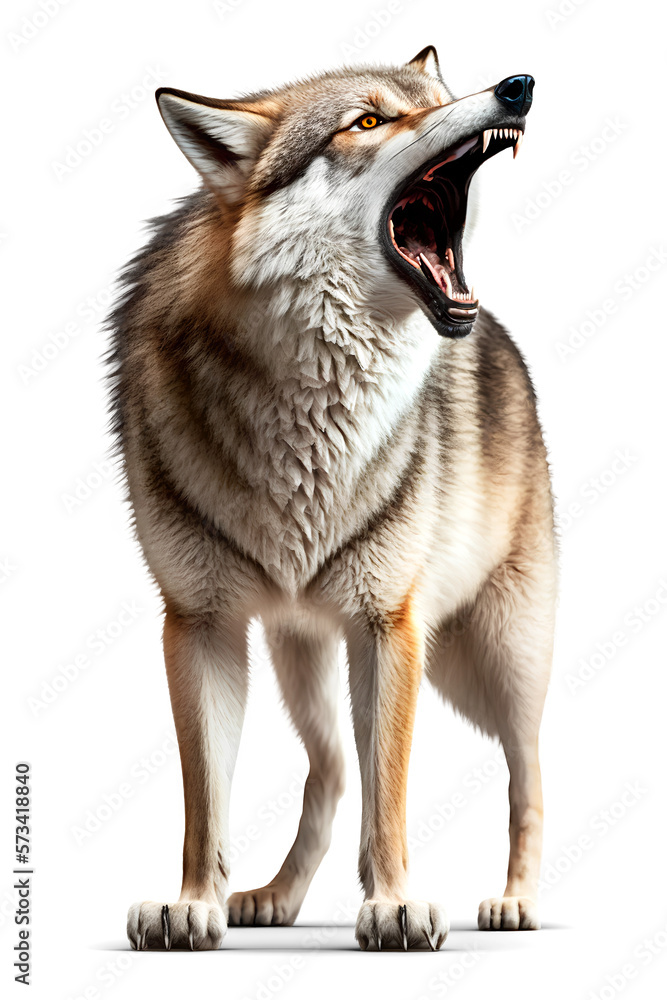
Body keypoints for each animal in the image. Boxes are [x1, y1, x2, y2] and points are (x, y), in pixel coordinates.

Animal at [110, 46, 555, 951]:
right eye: (369, 120)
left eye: (435, 98)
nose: (516, 87)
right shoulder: (198, 625)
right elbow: (204, 801)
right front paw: (194, 904)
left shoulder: (388, 625)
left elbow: (392, 790)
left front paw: (393, 905)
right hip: (300, 653)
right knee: (332, 766)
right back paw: (275, 897)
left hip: (500, 656)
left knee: (525, 771)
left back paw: (516, 902)